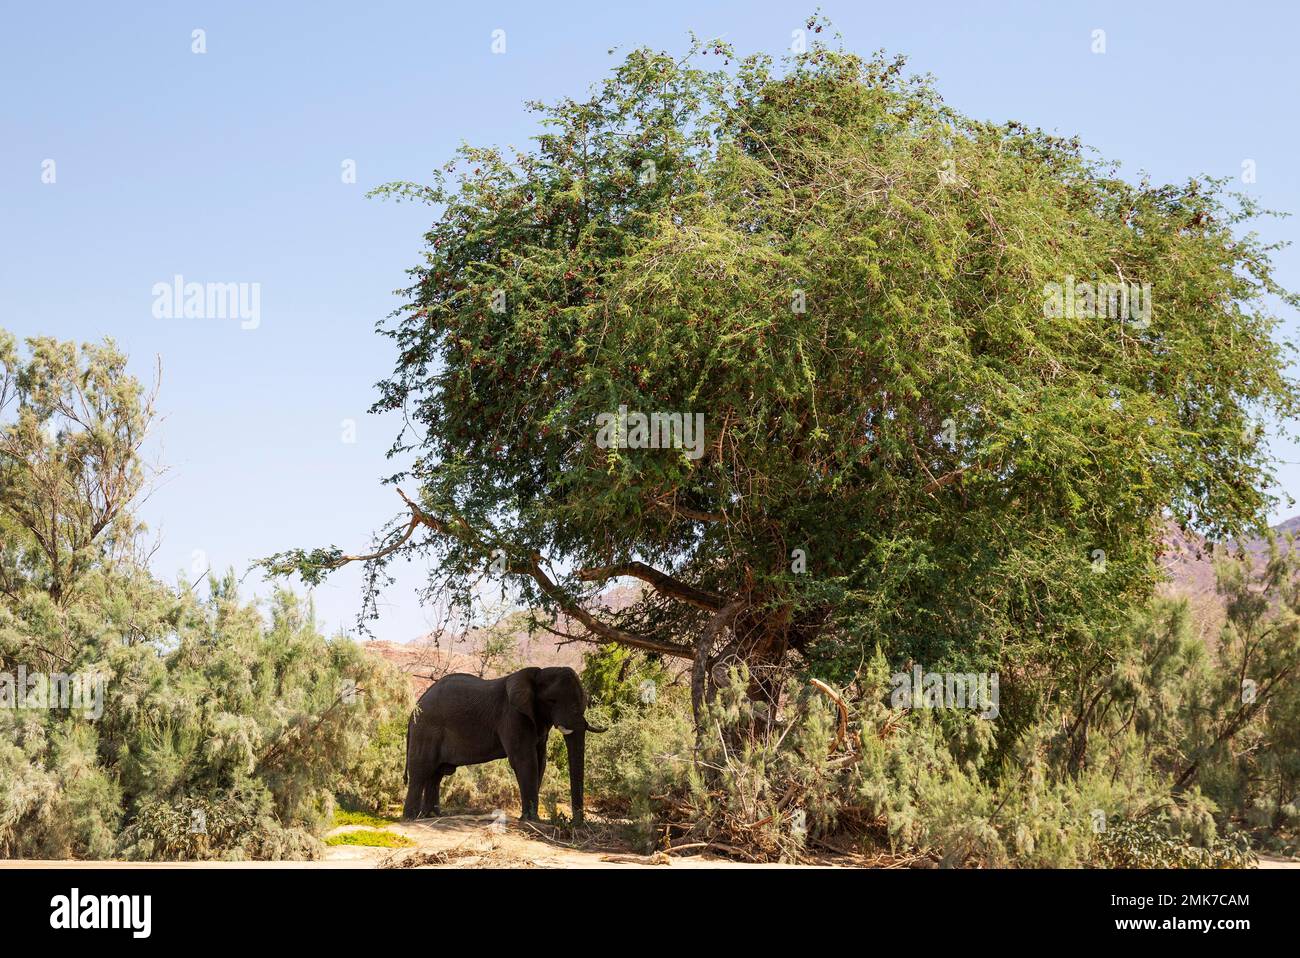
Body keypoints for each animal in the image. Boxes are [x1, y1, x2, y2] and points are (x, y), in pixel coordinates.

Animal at [402, 666, 607, 824]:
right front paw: (531, 819)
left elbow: (540, 761)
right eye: (551, 701)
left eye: (584, 701)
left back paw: (431, 816)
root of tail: (413, 710)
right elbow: (525, 760)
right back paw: (411, 818)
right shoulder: (512, 716)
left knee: (435, 775)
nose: (573, 822)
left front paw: (530, 818)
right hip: (426, 730)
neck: (538, 673)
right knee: (421, 772)